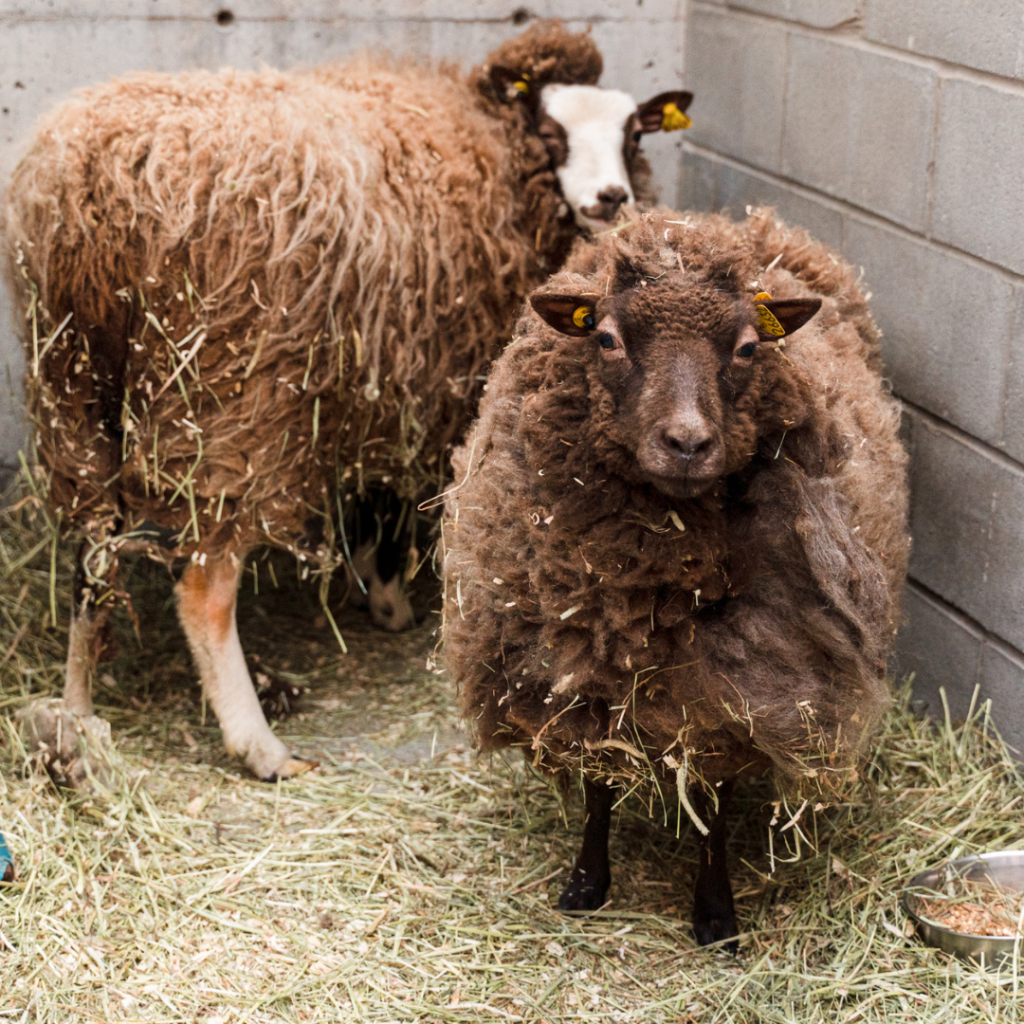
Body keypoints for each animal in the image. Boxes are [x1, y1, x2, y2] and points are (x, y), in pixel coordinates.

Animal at [1, 21, 694, 782]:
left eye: (634, 133)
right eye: (551, 130)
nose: (610, 196)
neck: (488, 135)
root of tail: (97, 193)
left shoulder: (384, 375)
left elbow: (370, 488)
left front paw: (369, 576)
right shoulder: (422, 379)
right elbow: (393, 495)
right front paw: (388, 597)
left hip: (73, 385)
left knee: (91, 556)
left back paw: (76, 713)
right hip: (230, 400)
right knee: (203, 587)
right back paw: (260, 746)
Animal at [440, 207, 910, 946]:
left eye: (747, 349)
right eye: (606, 339)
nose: (687, 444)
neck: (642, 597)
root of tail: (722, 220)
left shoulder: (742, 682)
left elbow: (713, 798)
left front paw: (715, 913)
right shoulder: (581, 672)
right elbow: (599, 781)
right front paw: (586, 883)